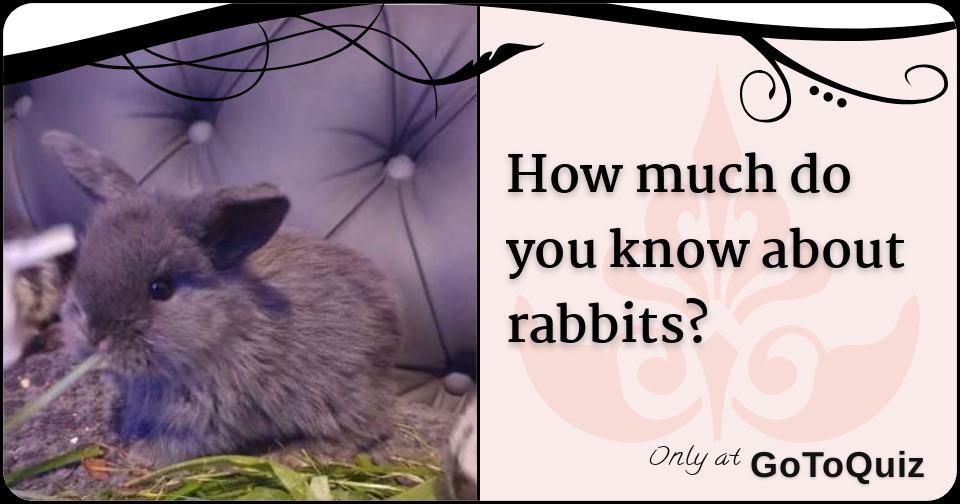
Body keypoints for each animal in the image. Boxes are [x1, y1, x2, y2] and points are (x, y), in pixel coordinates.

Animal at [41, 130, 402, 466]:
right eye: (83, 262)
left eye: (161, 288)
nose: (94, 335)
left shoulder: (210, 415)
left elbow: (180, 443)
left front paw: (141, 456)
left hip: (338, 397)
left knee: (367, 427)